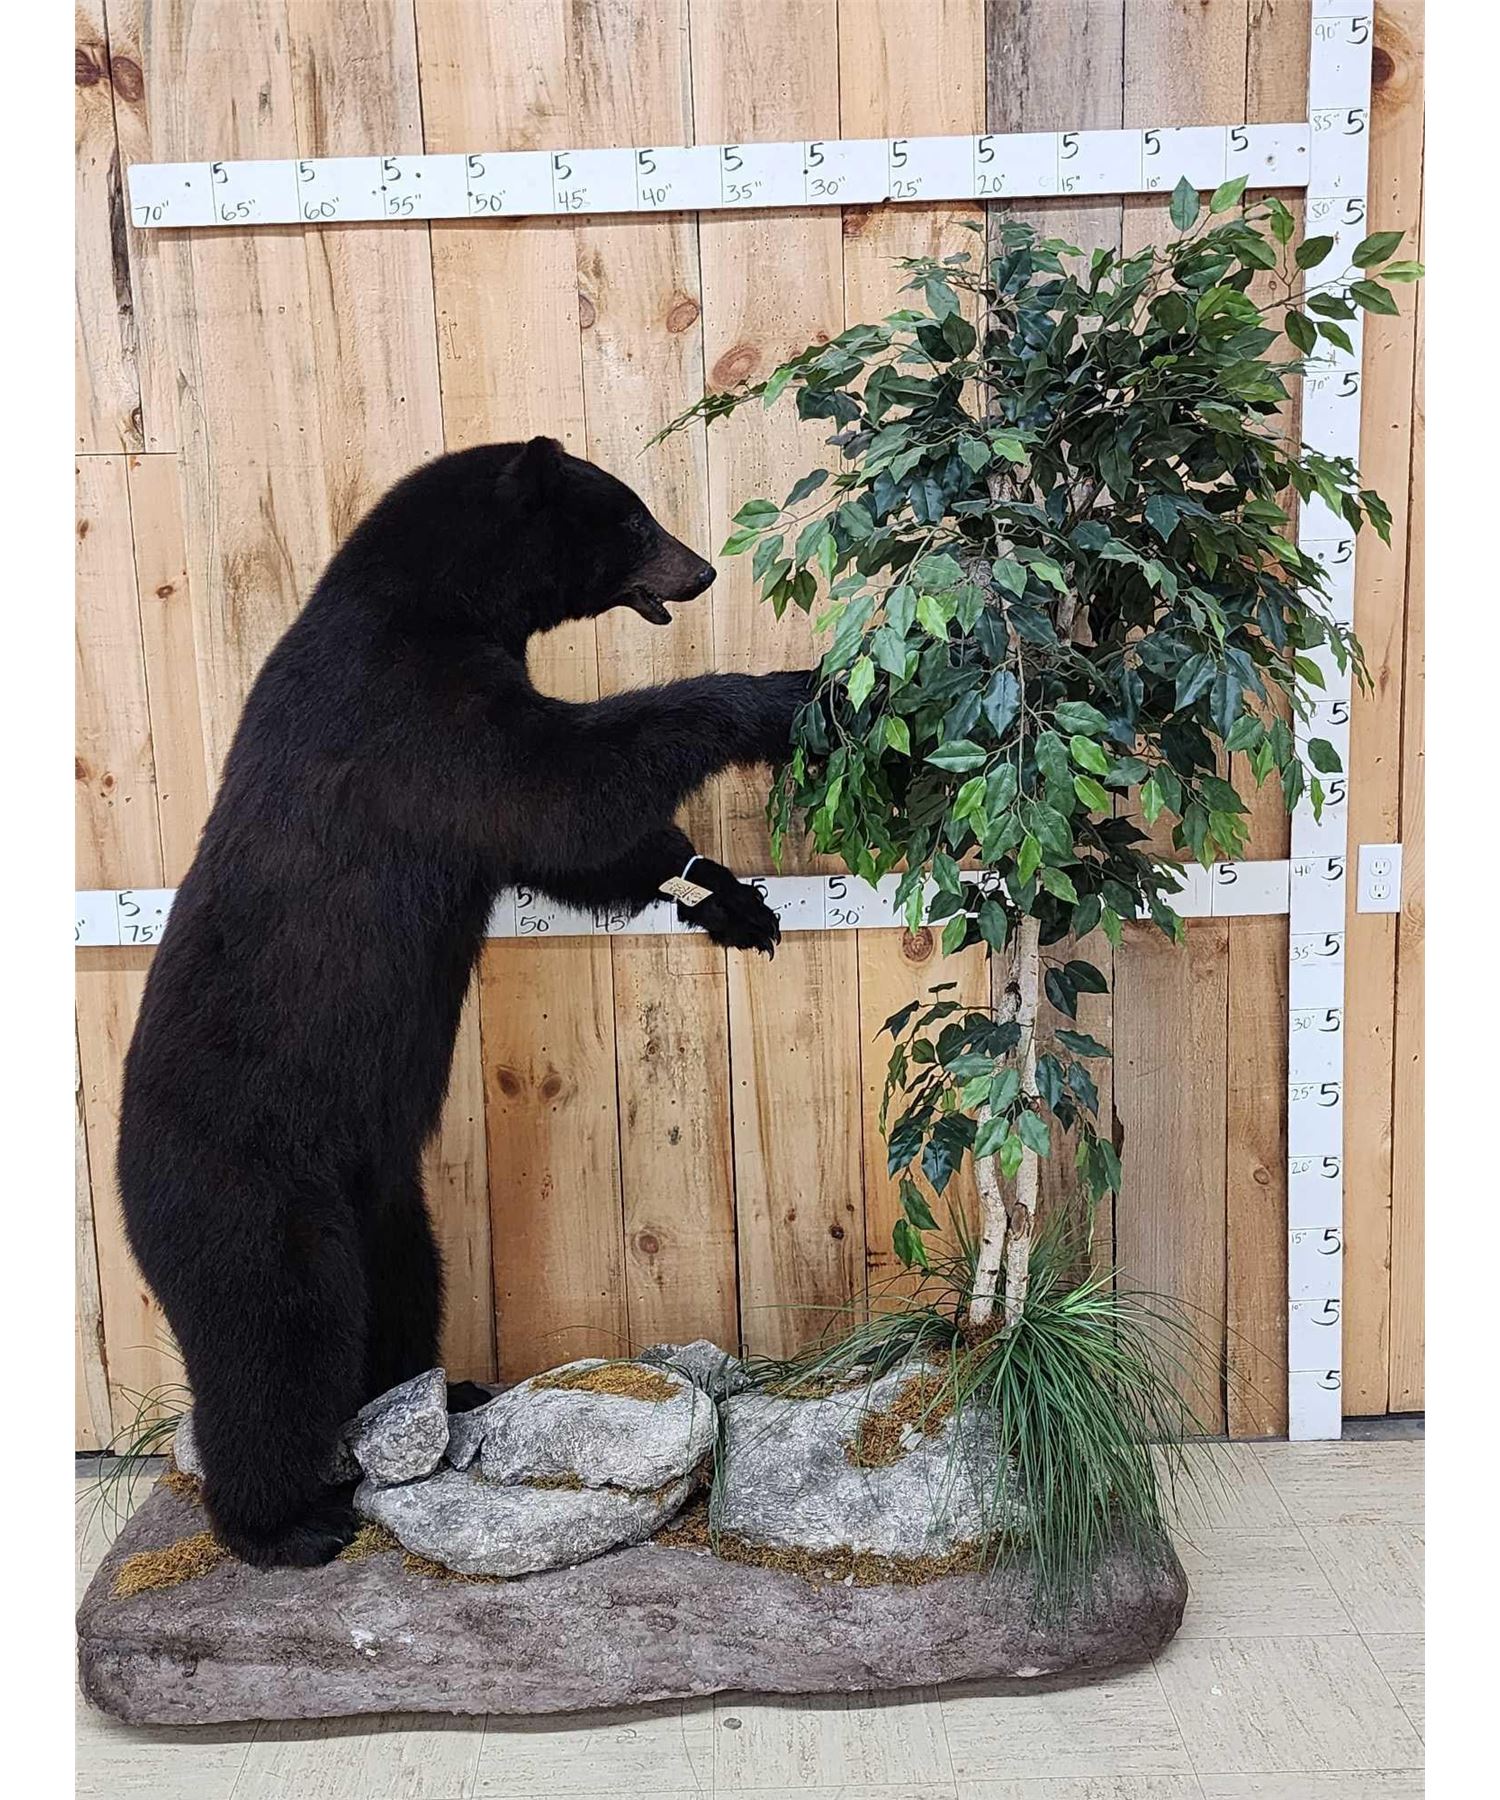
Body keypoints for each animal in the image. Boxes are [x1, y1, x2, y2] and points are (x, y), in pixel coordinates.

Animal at [117, 438, 813, 1567]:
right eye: (632, 517)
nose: (701, 570)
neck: (437, 600)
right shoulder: (414, 715)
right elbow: (559, 788)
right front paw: (784, 695)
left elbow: (577, 842)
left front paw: (728, 895)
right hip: (252, 1190)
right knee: (275, 1337)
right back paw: (286, 1522)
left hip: (385, 1200)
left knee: (400, 1294)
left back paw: (443, 1396)